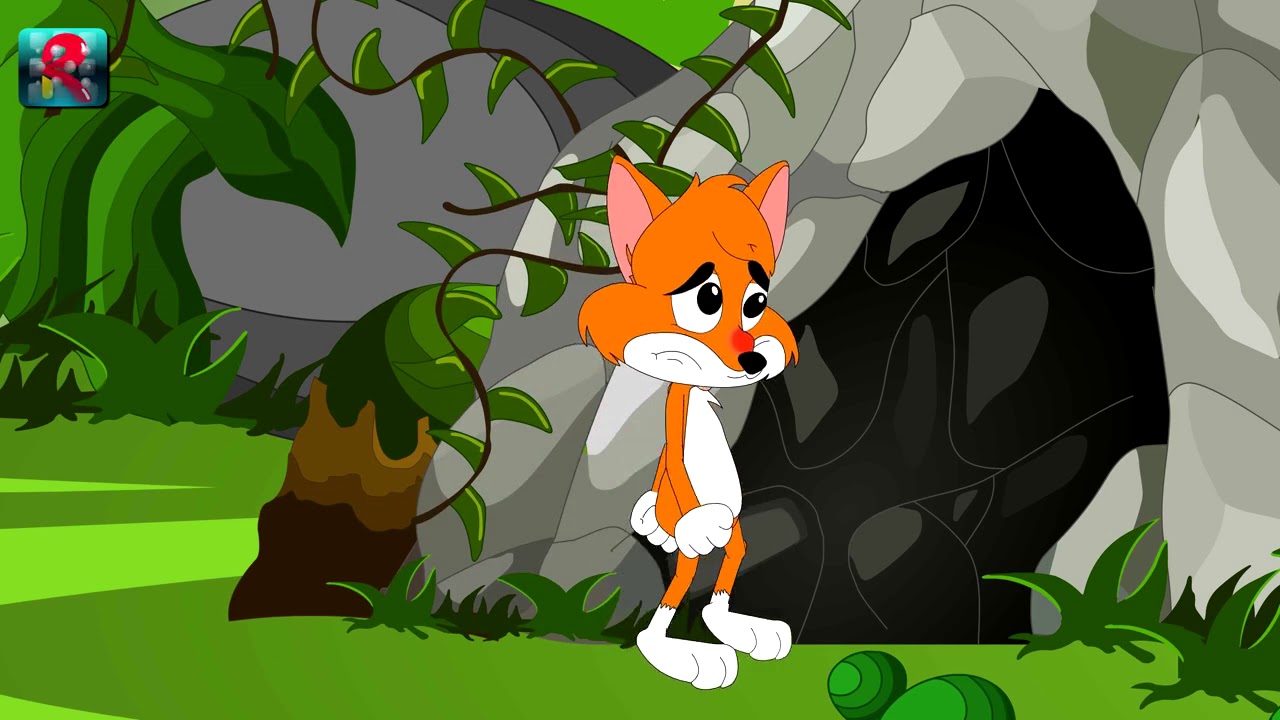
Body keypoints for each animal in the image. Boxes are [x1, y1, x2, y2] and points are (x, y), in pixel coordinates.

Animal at [577, 155, 800, 689]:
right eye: (707, 298)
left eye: (757, 303)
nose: (752, 360)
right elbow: (677, 468)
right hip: (686, 541)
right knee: (677, 585)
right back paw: (676, 649)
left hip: (735, 533)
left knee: (733, 556)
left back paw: (730, 624)